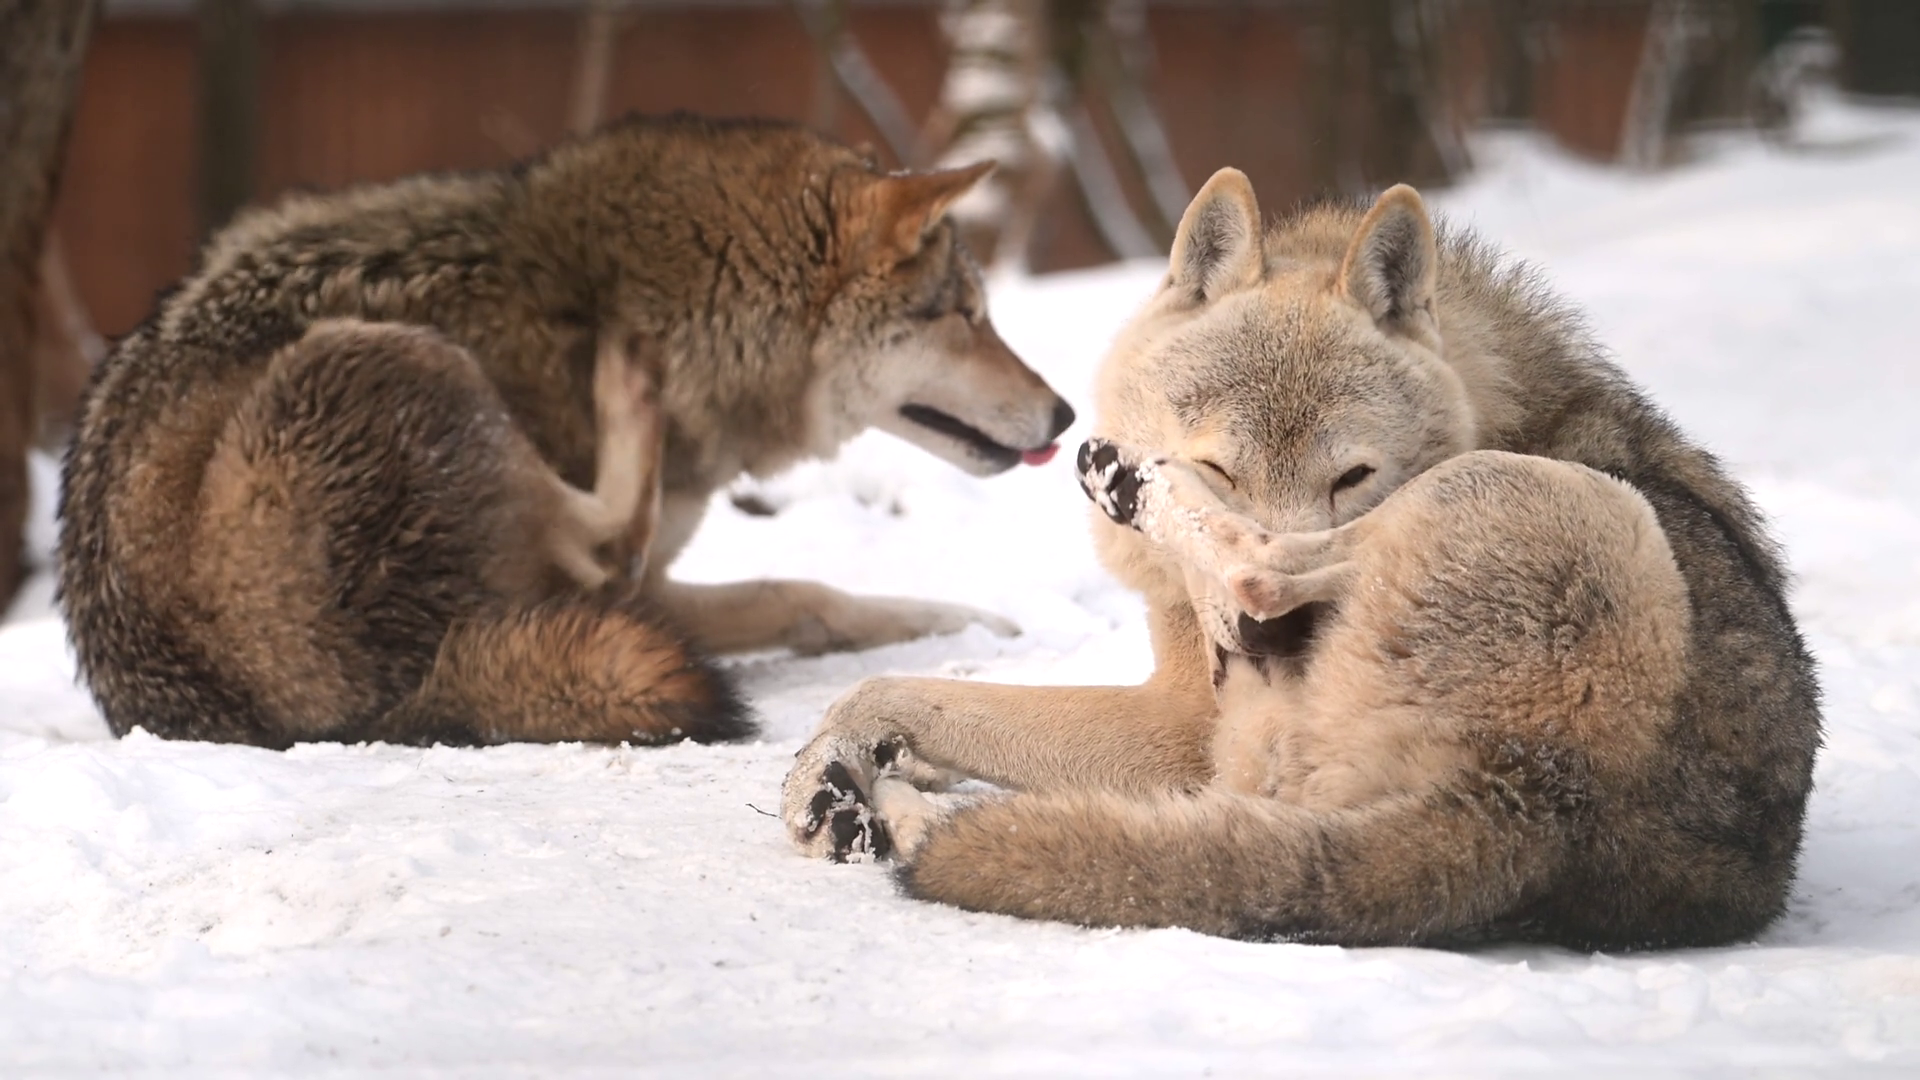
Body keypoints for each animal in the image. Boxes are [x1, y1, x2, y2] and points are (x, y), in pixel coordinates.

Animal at [58, 113, 1075, 749]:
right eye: (967, 316)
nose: (1066, 415)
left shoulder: (659, 587)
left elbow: (808, 597)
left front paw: (960, 621)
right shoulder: (648, 582)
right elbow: (795, 585)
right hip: (390, 354)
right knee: (605, 546)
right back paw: (626, 385)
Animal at [779, 172, 1823, 950]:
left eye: (1352, 474)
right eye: (1224, 465)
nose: (1267, 638)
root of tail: (1540, 804)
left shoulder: (1179, 727)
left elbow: (915, 691)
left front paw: (849, 758)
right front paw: (841, 775)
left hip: (1528, 497)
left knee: (1259, 570)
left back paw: (1120, 484)